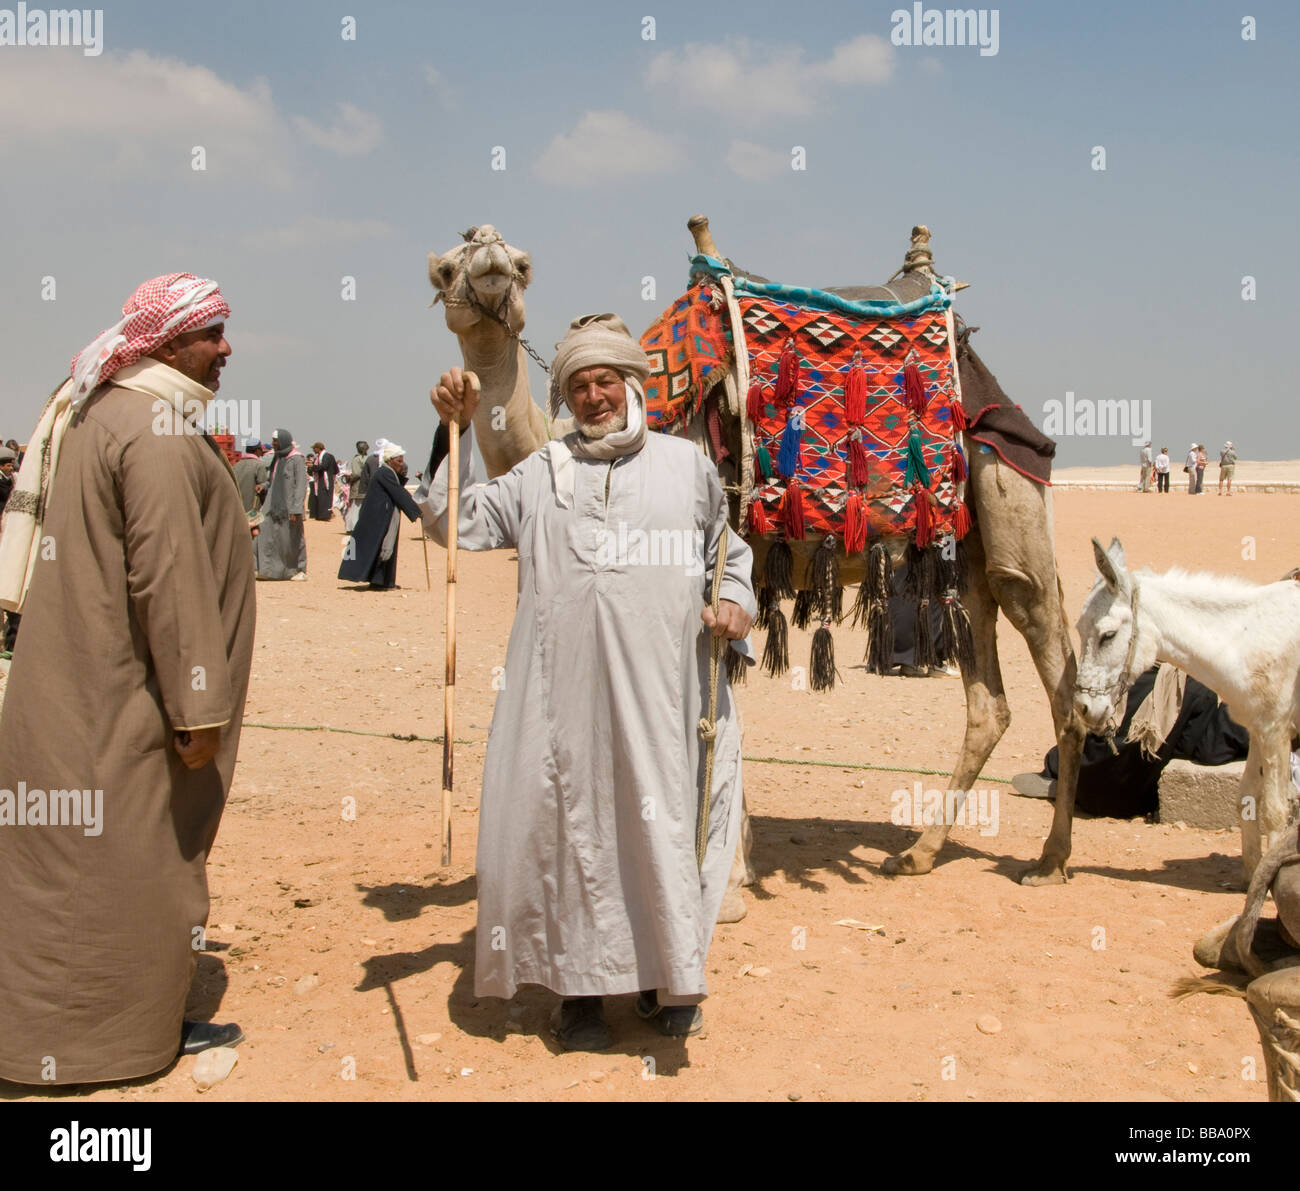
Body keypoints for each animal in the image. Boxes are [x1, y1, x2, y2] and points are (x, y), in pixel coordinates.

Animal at [429, 218, 1089, 890]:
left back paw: (1050, 860)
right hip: (963, 555)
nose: (489, 257)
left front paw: (729, 867)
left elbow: (714, 695)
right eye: (447, 268)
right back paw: (918, 853)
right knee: (989, 700)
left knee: (1050, 653)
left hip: (1007, 493)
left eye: (521, 264)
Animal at [1076, 538, 1300, 881]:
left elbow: (1275, 810)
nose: (1083, 707)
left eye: (1108, 635)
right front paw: (1253, 880)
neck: (1245, 639)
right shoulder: (1257, 728)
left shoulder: (1276, 729)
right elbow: (1245, 799)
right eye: (1078, 628)